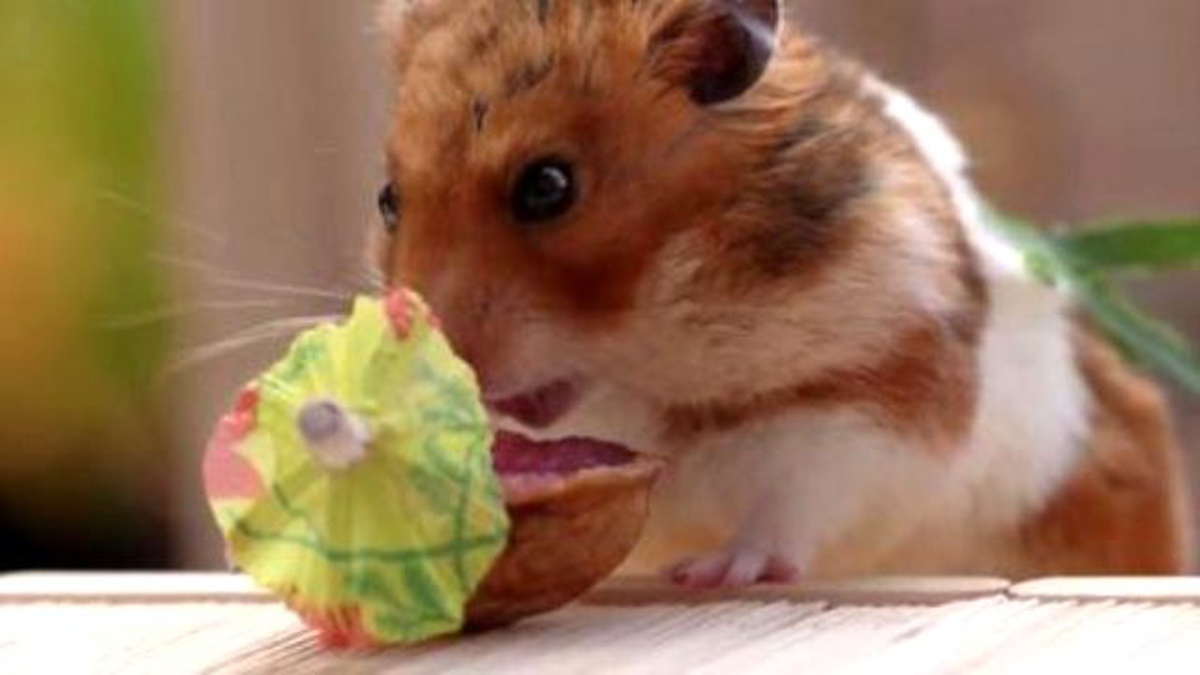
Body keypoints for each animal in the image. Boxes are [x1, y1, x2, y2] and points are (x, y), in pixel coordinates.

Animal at [372, 0, 1193, 585]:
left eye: (547, 187)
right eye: (387, 199)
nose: (435, 359)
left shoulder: (877, 397)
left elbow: (792, 499)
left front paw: (717, 572)